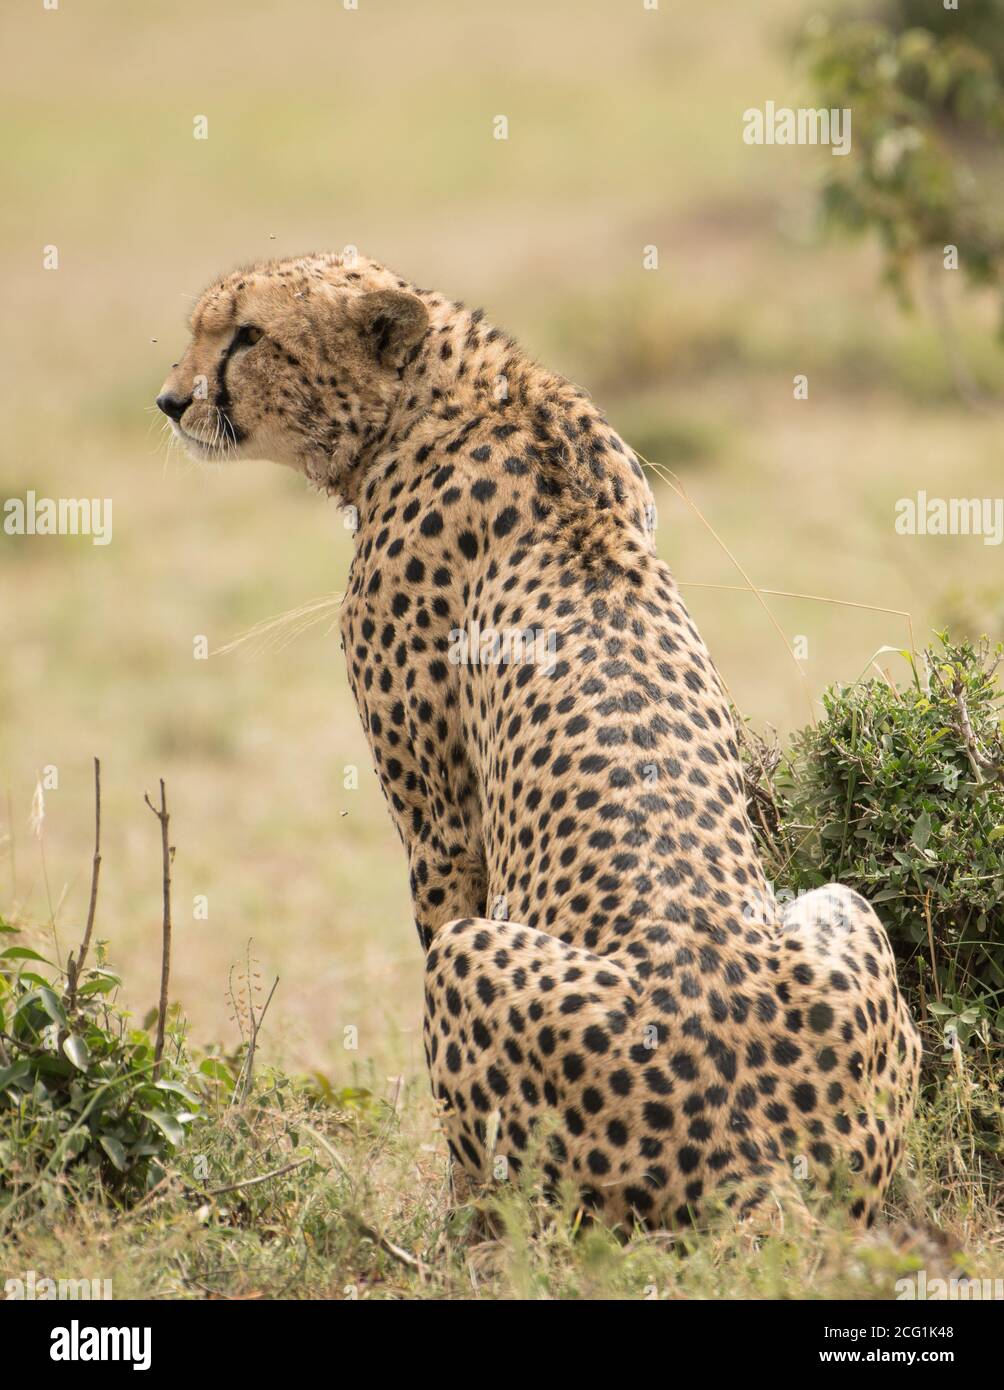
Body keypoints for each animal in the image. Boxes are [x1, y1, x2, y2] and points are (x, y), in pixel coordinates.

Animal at [158, 250, 921, 1229]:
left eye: (248, 335)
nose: (170, 400)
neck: (455, 395)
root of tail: (757, 1170)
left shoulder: (440, 825)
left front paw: (447, 1222)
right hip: (848, 911)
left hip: (477, 964)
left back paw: (474, 1227)